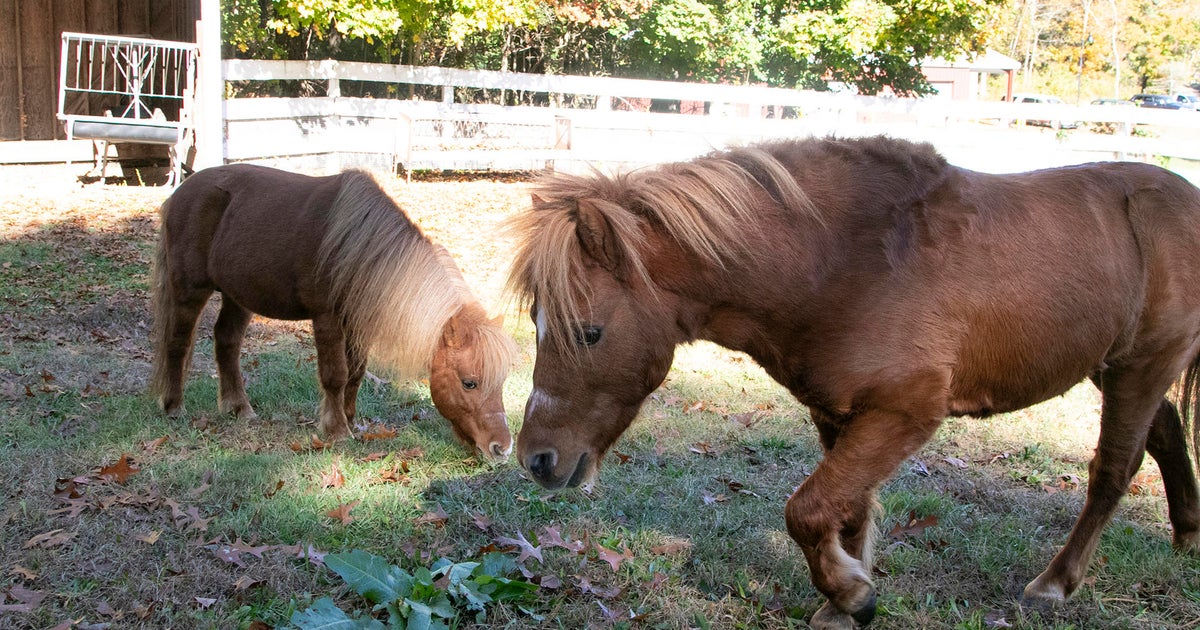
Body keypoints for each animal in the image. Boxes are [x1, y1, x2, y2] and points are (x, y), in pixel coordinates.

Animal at [150, 164, 517, 460]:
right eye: (469, 382)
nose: (502, 448)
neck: (360, 249)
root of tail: (181, 192)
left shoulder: (356, 322)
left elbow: (355, 373)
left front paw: (351, 419)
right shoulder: (327, 318)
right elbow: (335, 374)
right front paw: (337, 429)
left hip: (238, 295)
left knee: (226, 343)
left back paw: (239, 408)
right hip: (189, 291)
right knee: (177, 343)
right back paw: (173, 407)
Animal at [505, 136, 1200, 628]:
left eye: (589, 332)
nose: (537, 460)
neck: (838, 262)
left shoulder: (903, 412)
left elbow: (808, 510)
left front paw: (852, 595)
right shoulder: (839, 414)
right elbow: (848, 509)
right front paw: (843, 597)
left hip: (1142, 368)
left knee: (1114, 470)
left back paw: (1054, 584)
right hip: (1118, 369)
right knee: (1166, 437)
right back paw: (1188, 535)